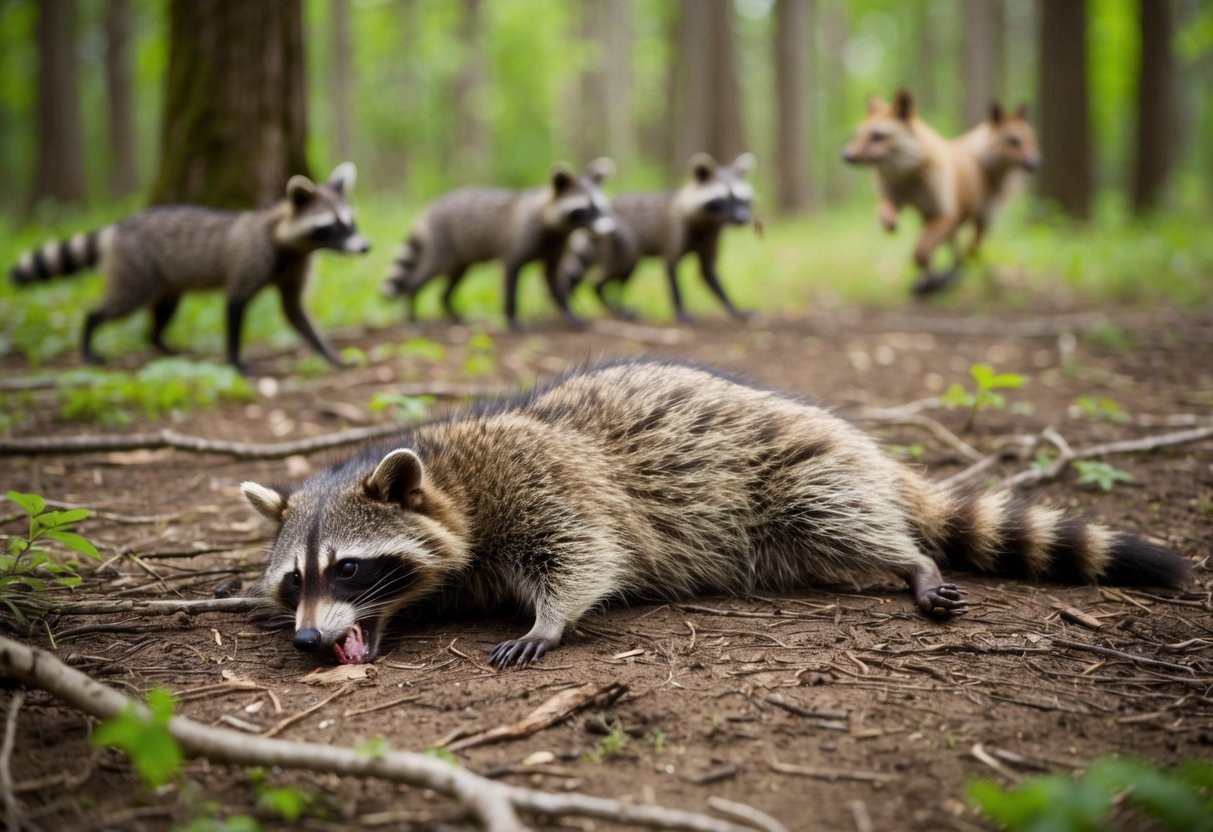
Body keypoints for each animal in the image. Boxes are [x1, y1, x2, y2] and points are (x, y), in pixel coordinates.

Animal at [9, 163, 370, 371]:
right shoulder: (254, 257)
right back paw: (89, 333)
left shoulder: (294, 266)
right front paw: (235, 359)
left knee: (161, 314)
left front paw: (329, 353)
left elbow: (295, 312)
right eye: (332, 227)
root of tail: (118, 226)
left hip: (166, 282)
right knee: (119, 304)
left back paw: (160, 342)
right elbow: (236, 303)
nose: (365, 247)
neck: (294, 242)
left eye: (351, 222)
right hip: (134, 267)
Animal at [242, 358, 1189, 668]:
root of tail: (861, 444)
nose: (307, 638)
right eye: (295, 582)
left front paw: (548, 619)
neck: (452, 480)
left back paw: (908, 558)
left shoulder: (541, 479)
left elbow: (583, 549)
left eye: (349, 567)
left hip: (797, 475)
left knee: (843, 514)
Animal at [380, 160, 615, 329]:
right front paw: (511, 317)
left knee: (451, 283)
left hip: (461, 256)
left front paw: (568, 311)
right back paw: (412, 305)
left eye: (600, 207)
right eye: (584, 210)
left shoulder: (556, 249)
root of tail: (429, 210)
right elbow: (510, 276)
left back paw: (450, 308)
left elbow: (554, 279)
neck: (558, 229)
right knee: (428, 271)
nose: (609, 230)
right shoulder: (520, 240)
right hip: (443, 241)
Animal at [560, 153, 756, 322]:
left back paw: (616, 305)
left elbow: (708, 273)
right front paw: (680, 309)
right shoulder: (676, 232)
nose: (742, 219)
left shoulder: (710, 238)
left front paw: (733, 307)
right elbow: (671, 267)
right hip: (619, 244)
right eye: (722, 199)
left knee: (619, 277)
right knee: (613, 273)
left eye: (741, 199)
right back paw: (606, 297)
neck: (707, 223)